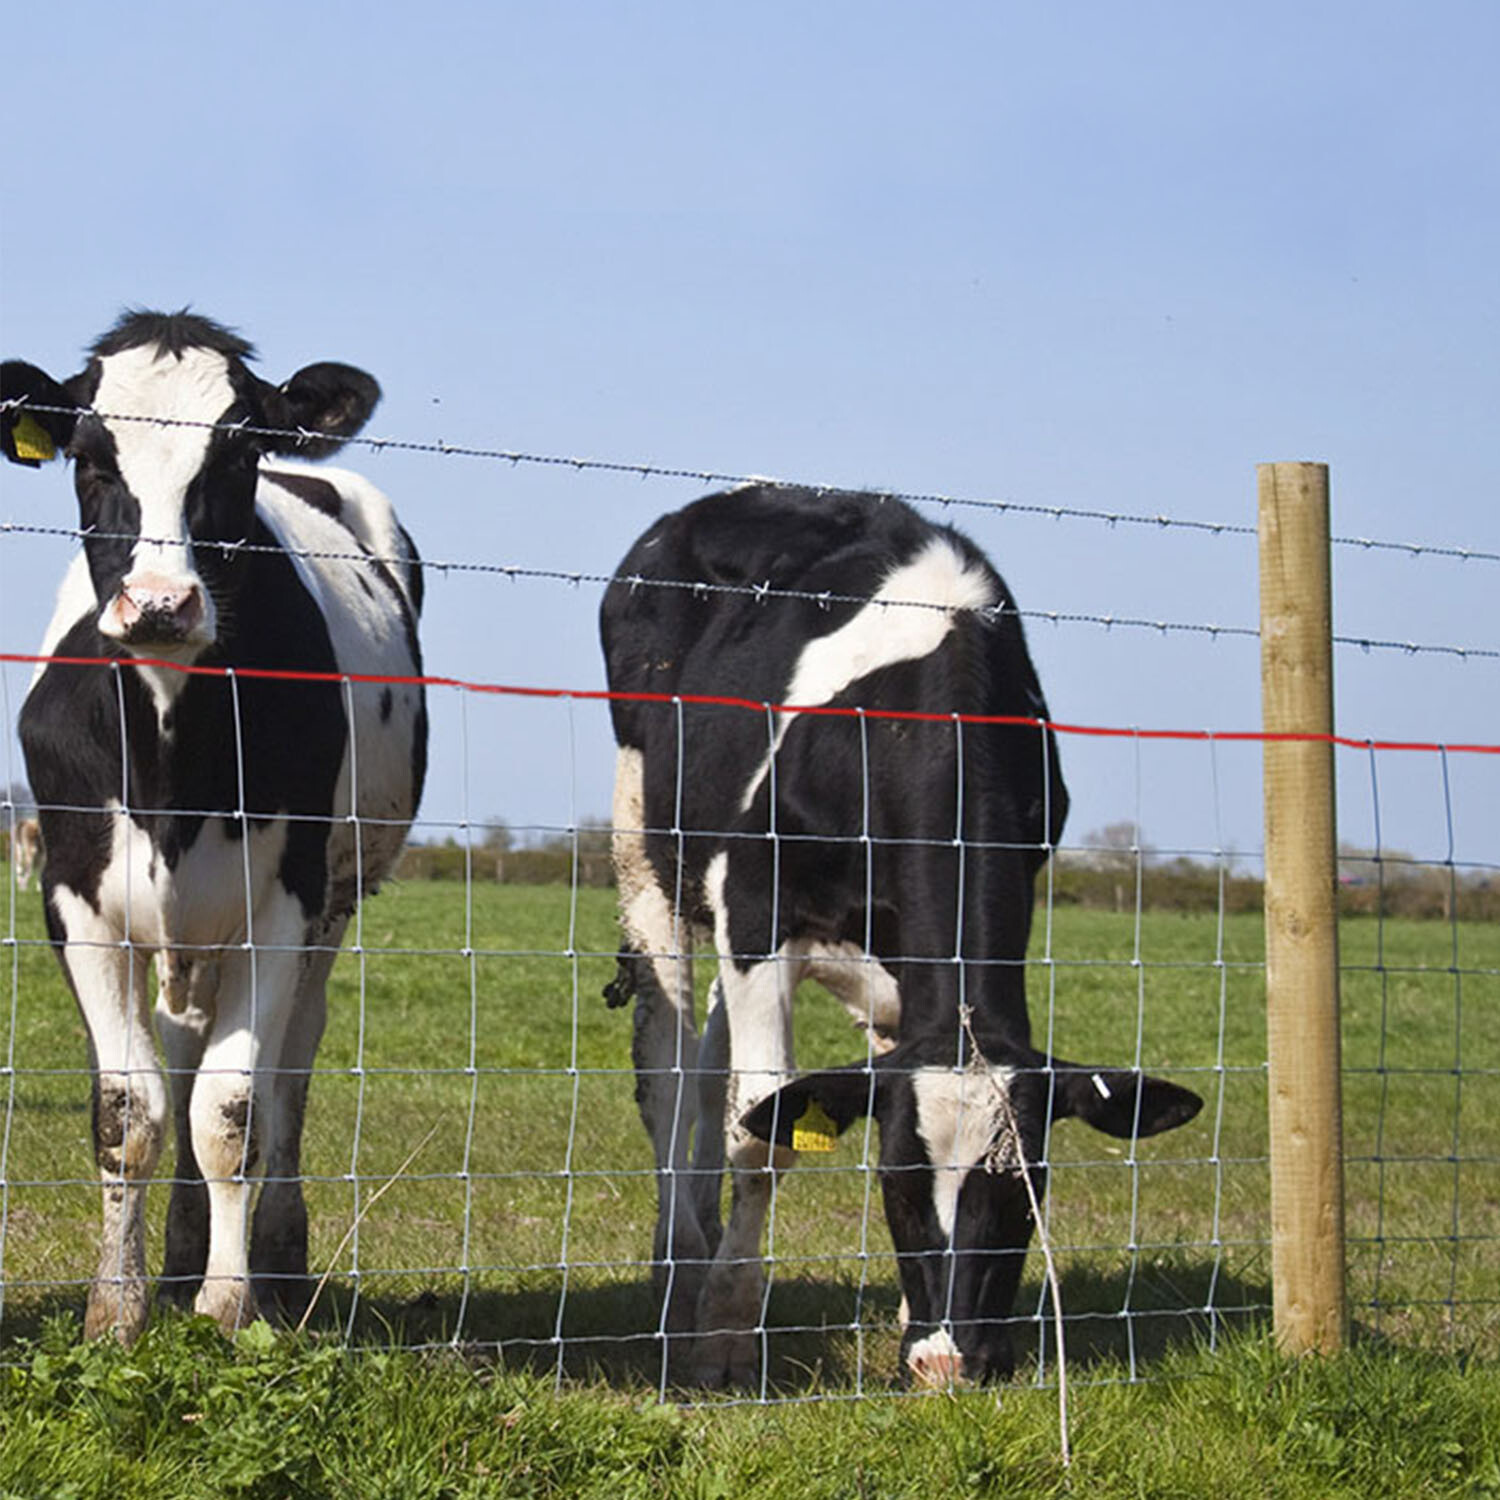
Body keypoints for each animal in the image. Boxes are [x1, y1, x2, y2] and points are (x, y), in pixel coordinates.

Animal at [1, 310, 427, 1341]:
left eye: (237, 455)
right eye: (88, 456)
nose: (160, 602)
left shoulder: (284, 900)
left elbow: (233, 1111)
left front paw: (229, 1305)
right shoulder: (73, 898)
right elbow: (132, 1110)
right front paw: (116, 1306)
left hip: (331, 903)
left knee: (288, 1065)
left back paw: (274, 1257)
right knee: (185, 1044)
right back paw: (182, 1250)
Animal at [600, 485, 1201, 1388]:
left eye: (1026, 1192)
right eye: (898, 1185)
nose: (952, 1362)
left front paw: (902, 1318)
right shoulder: (756, 903)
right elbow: (764, 1133)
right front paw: (727, 1338)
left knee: (710, 1069)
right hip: (649, 848)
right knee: (669, 1075)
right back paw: (679, 1276)